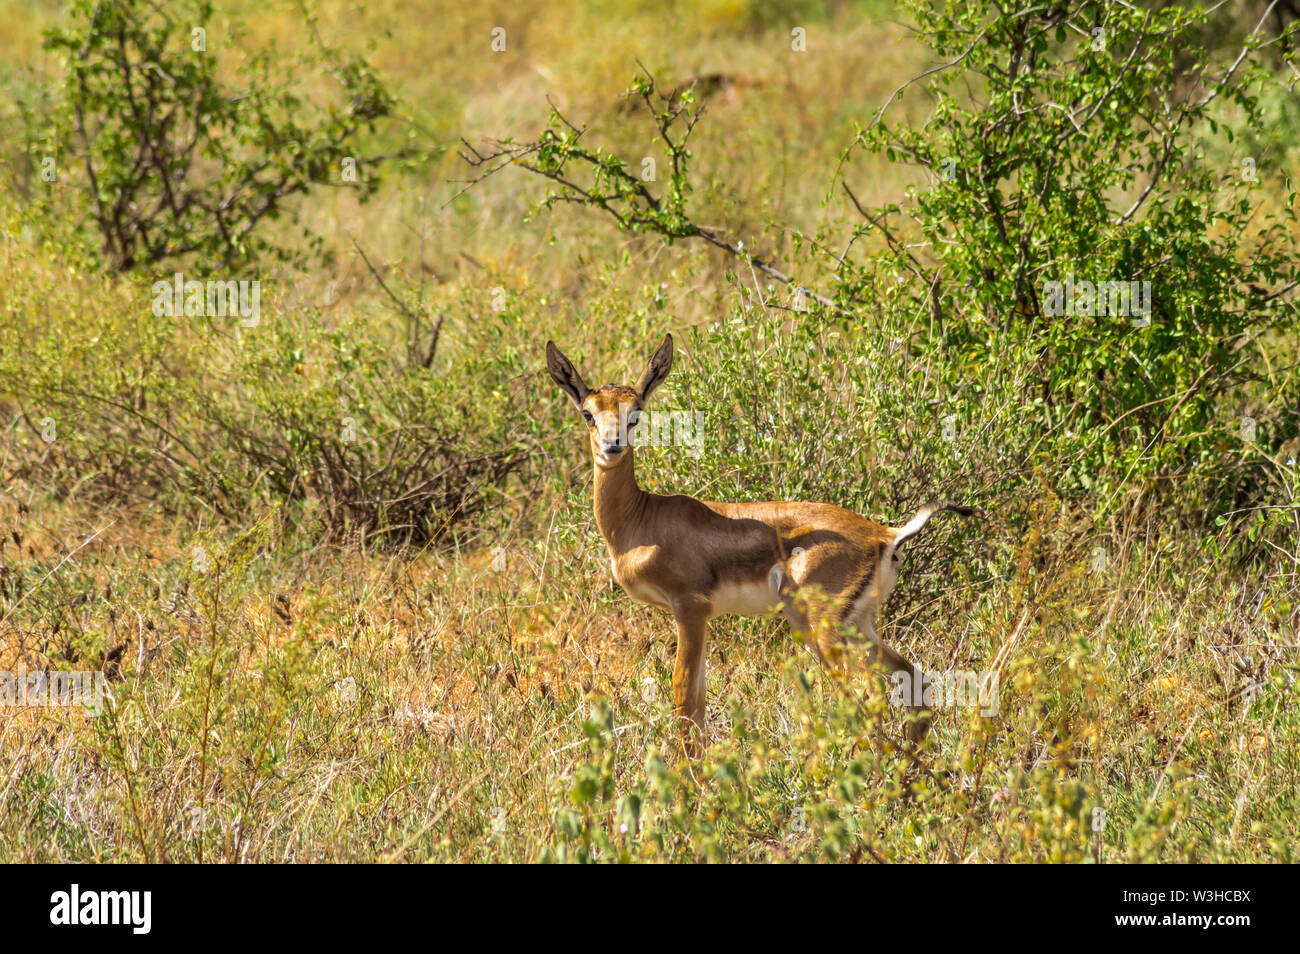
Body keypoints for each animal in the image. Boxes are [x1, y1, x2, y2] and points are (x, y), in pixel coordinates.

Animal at [545, 333, 973, 754]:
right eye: (588, 412)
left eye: (636, 411)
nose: (612, 445)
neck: (641, 519)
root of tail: (885, 534)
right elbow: (699, 701)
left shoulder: (690, 609)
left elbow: (684, 694)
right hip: (857, 624)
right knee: (913, 681)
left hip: (822, 629)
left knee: (866, 698)